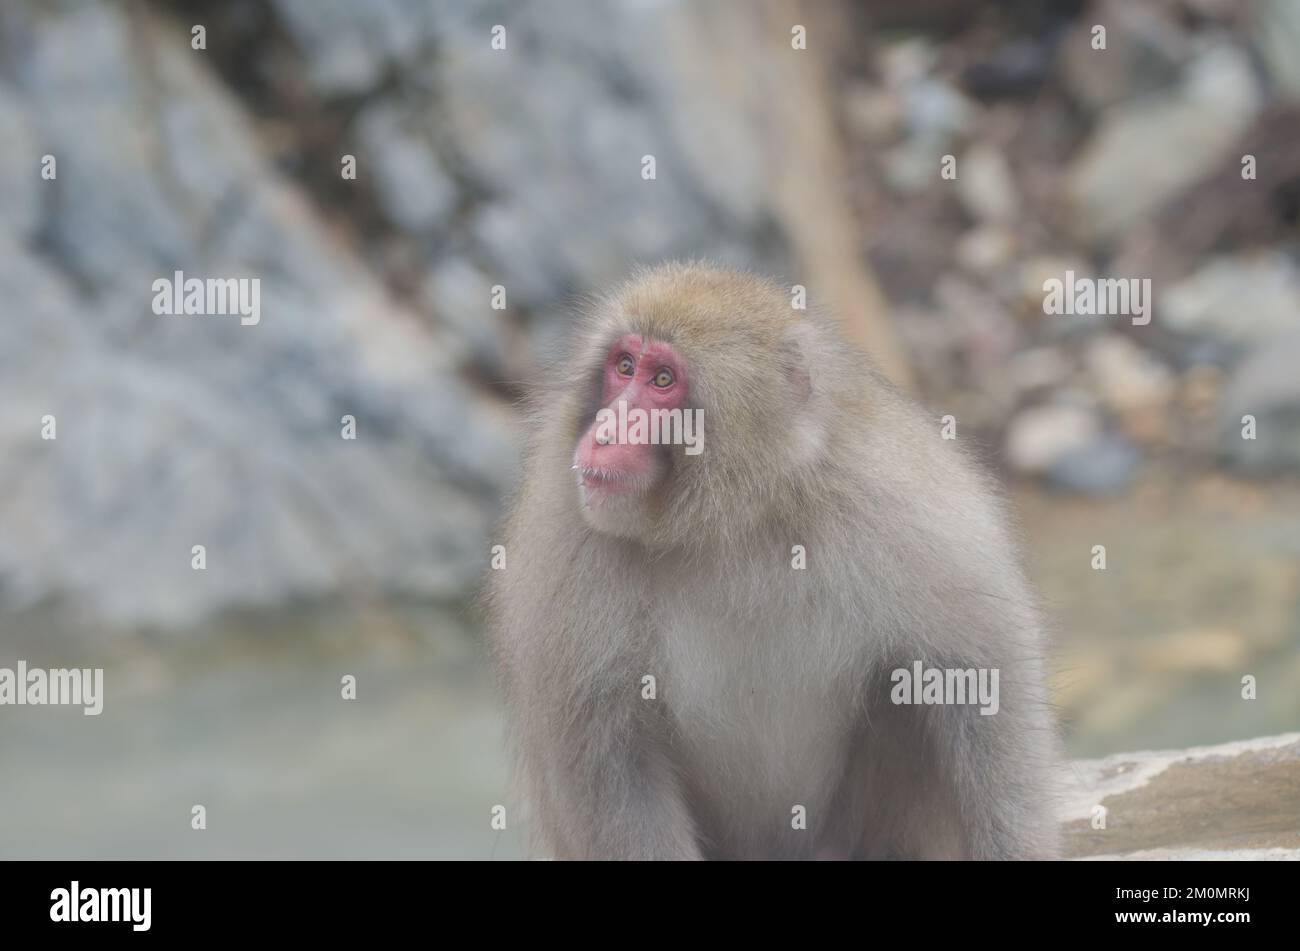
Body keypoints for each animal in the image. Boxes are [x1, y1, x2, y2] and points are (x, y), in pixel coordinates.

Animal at [485, 261, 1061, 860]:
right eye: (623, 367)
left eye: (662, 380)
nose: (603, 432)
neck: (729, 521)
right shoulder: (569, 542)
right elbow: (612, 759)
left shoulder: (895, 500)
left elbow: (979, 665)